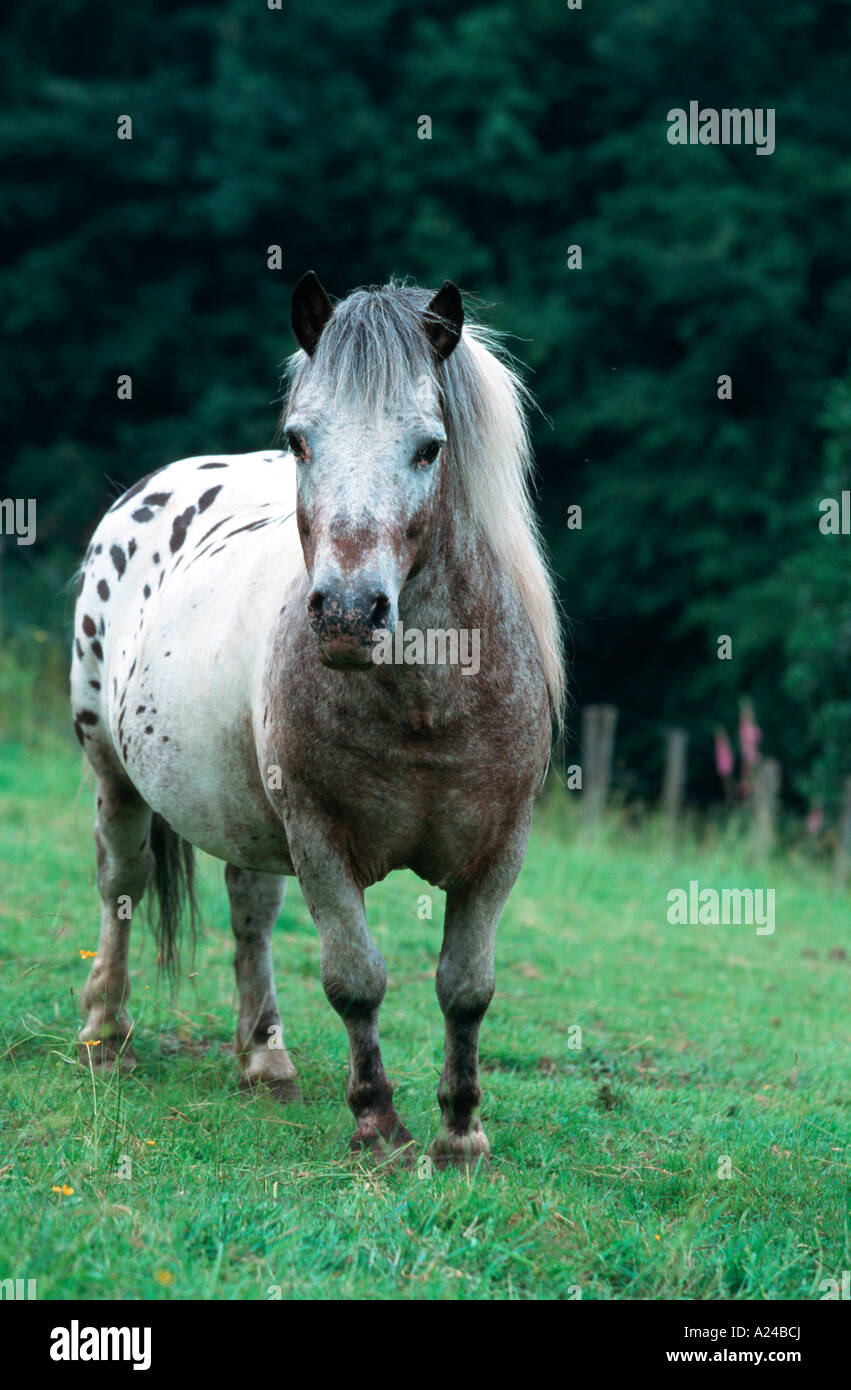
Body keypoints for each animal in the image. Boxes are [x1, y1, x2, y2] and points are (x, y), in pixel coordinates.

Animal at [70, 273, 565, 1166]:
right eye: (301, 441)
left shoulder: (497, 850)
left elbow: (466, 987)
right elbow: (355, 978)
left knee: (249, 914)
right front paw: (377, 1123)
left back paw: (264, 1058)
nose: (344, 614)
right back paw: (105, 1033)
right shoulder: (321, 841)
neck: (426, 709)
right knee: (121, 887)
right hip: (113, 776)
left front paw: (461, 1133)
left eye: (429, 447)